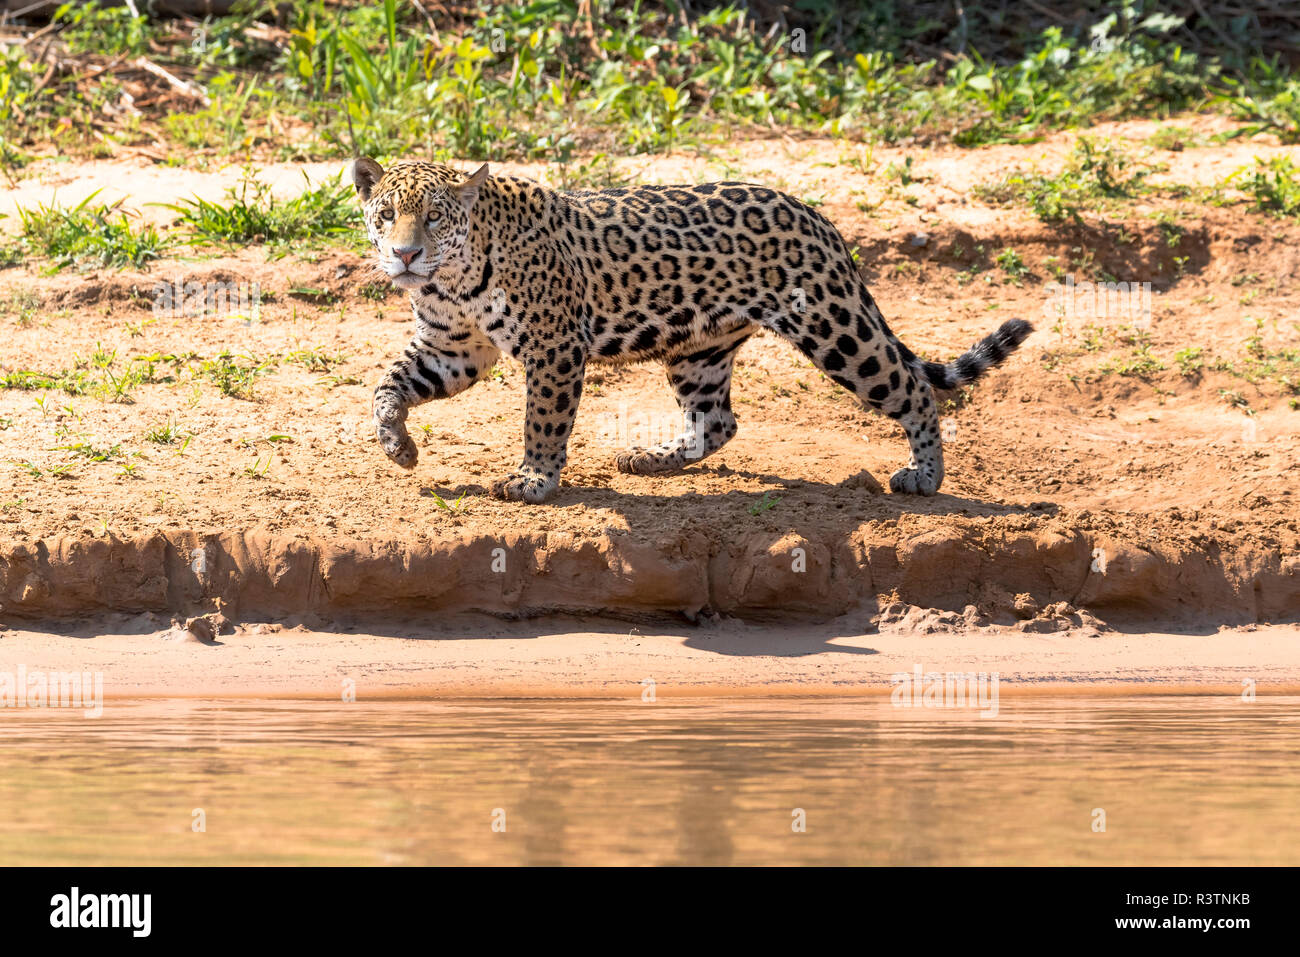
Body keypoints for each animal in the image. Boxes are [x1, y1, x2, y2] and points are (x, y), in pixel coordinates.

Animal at [352, 157, 1032, 504]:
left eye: (434, 217)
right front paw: (397, 444)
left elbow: (541, 420)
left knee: (913, 389)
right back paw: (650, 459)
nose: (405, 255)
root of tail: (819, 217)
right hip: (699, 349)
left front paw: (533, 480)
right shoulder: (453, 347)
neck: (453, 277)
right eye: (385, 216)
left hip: (836, 329)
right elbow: (388, 384)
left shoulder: (554, 347)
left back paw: (925, 477)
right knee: (718, 420)